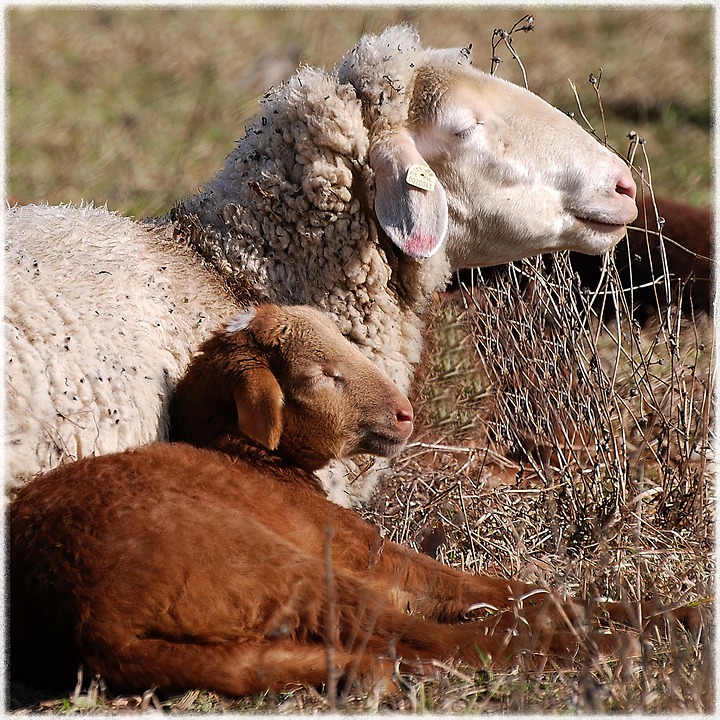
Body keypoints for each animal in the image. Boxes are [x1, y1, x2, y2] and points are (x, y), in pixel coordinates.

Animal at [10, 303, 704, 699]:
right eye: (323, 376)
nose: (405, 414)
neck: (258, 461)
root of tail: (91, 619)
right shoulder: (363, 547)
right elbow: (489, 588)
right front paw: (650, 614)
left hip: (232, 629)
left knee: (262, 665)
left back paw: (364, 675)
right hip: (275, 563)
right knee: (435, 638)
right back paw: (605, 647)